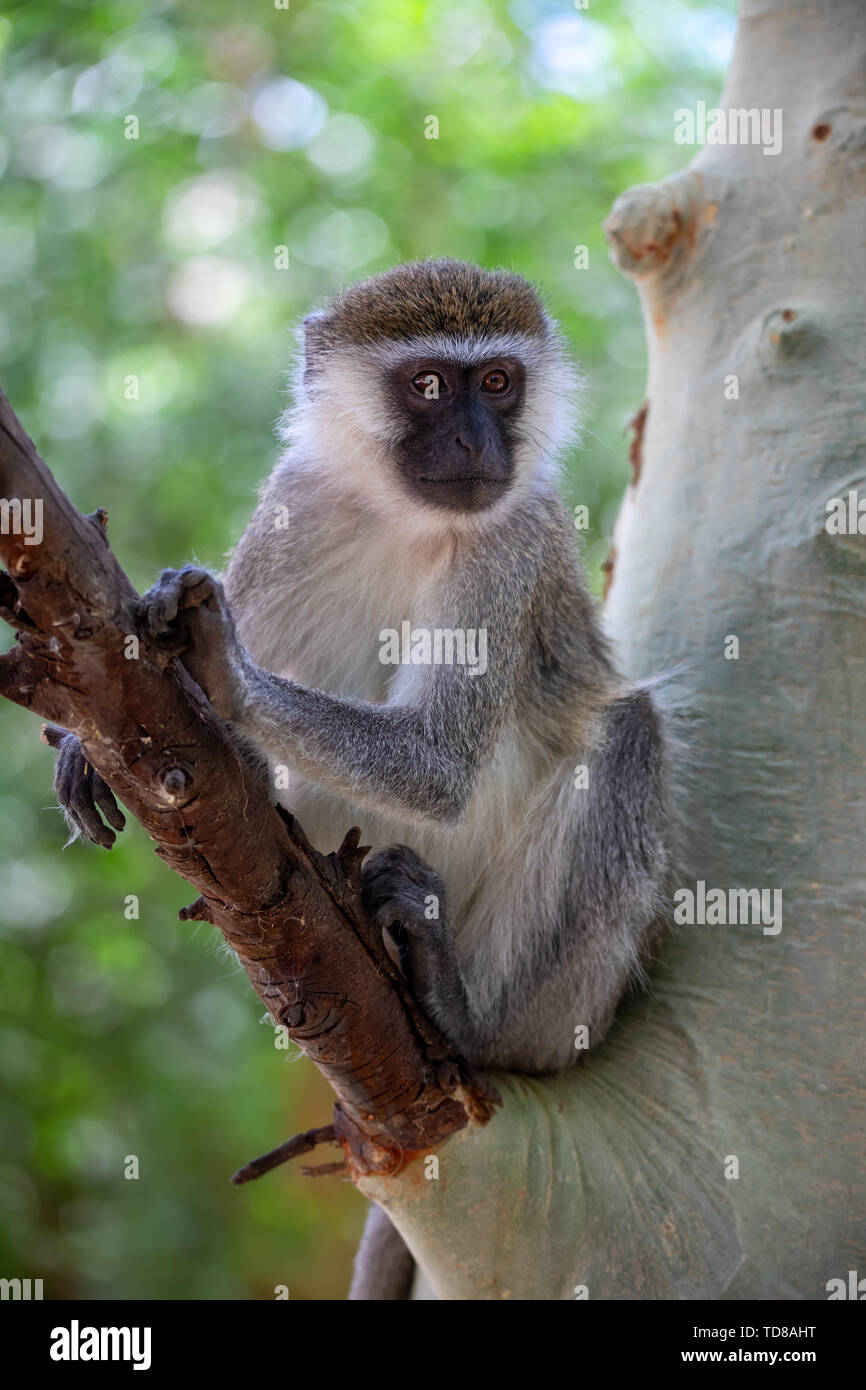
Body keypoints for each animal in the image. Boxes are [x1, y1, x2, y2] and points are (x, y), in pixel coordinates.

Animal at [51, 259, 669, 1301]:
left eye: (496, 381)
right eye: (427, 385)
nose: (474, 439)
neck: (401, 515)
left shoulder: (513, 544)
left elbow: (438, 764)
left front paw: (227, 670)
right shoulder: (291, 506)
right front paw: (102, 738)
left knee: (631, 734)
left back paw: (465, 1018)